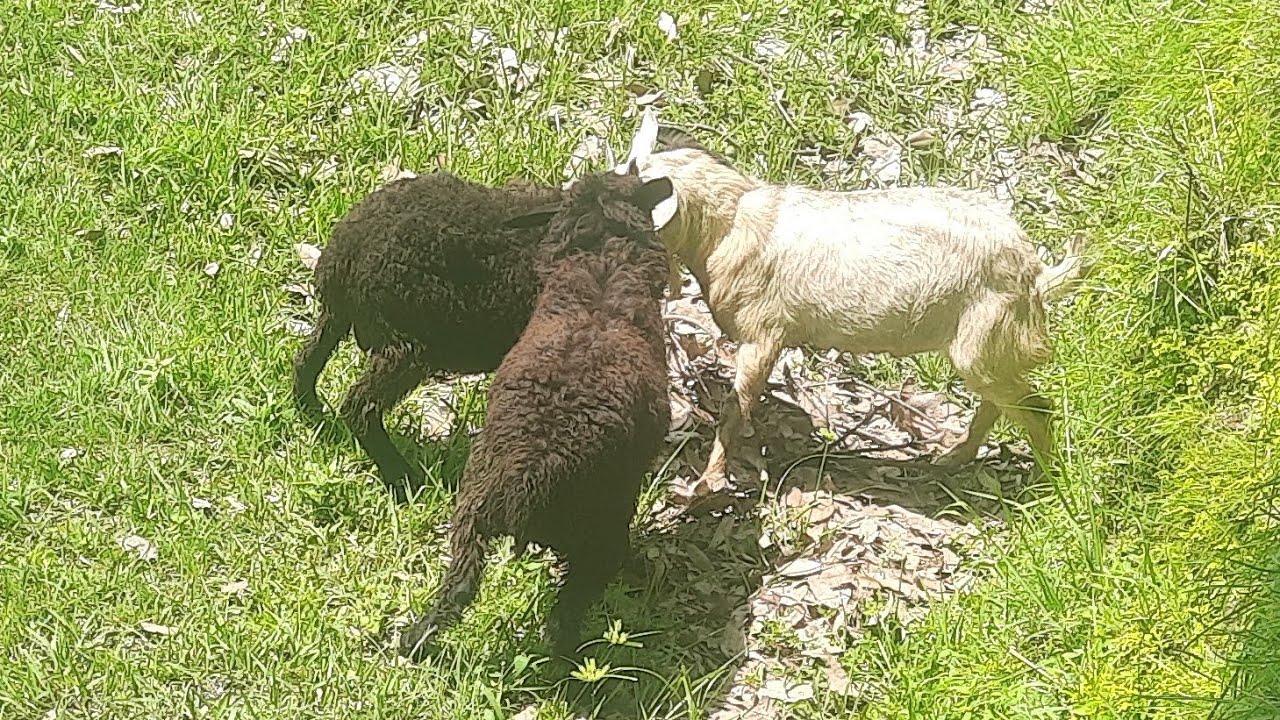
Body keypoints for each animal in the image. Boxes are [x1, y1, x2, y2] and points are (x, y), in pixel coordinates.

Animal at [292, 171, 568, 495]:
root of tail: (345, 251)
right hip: (406, 343)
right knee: (360, 407)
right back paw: (403, 480)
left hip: (340, 319)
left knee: (306, 360)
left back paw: (312, 411)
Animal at [397, 167, 675, 661]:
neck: (600, 277)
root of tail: (529, 481)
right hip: (595, 542)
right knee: (562, 624)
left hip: (470, 521)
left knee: (456, 592)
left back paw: (414, 641)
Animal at [613, 108, 1091, 487]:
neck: (729, 222)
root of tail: (1035, 275)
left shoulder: (763, 334)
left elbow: (735, 410)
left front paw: (708, 482)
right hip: (988, 348)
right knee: (1000, 400)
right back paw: (954, 457)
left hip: (986, 337)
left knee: (1037, 407)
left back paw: (1050, 482)